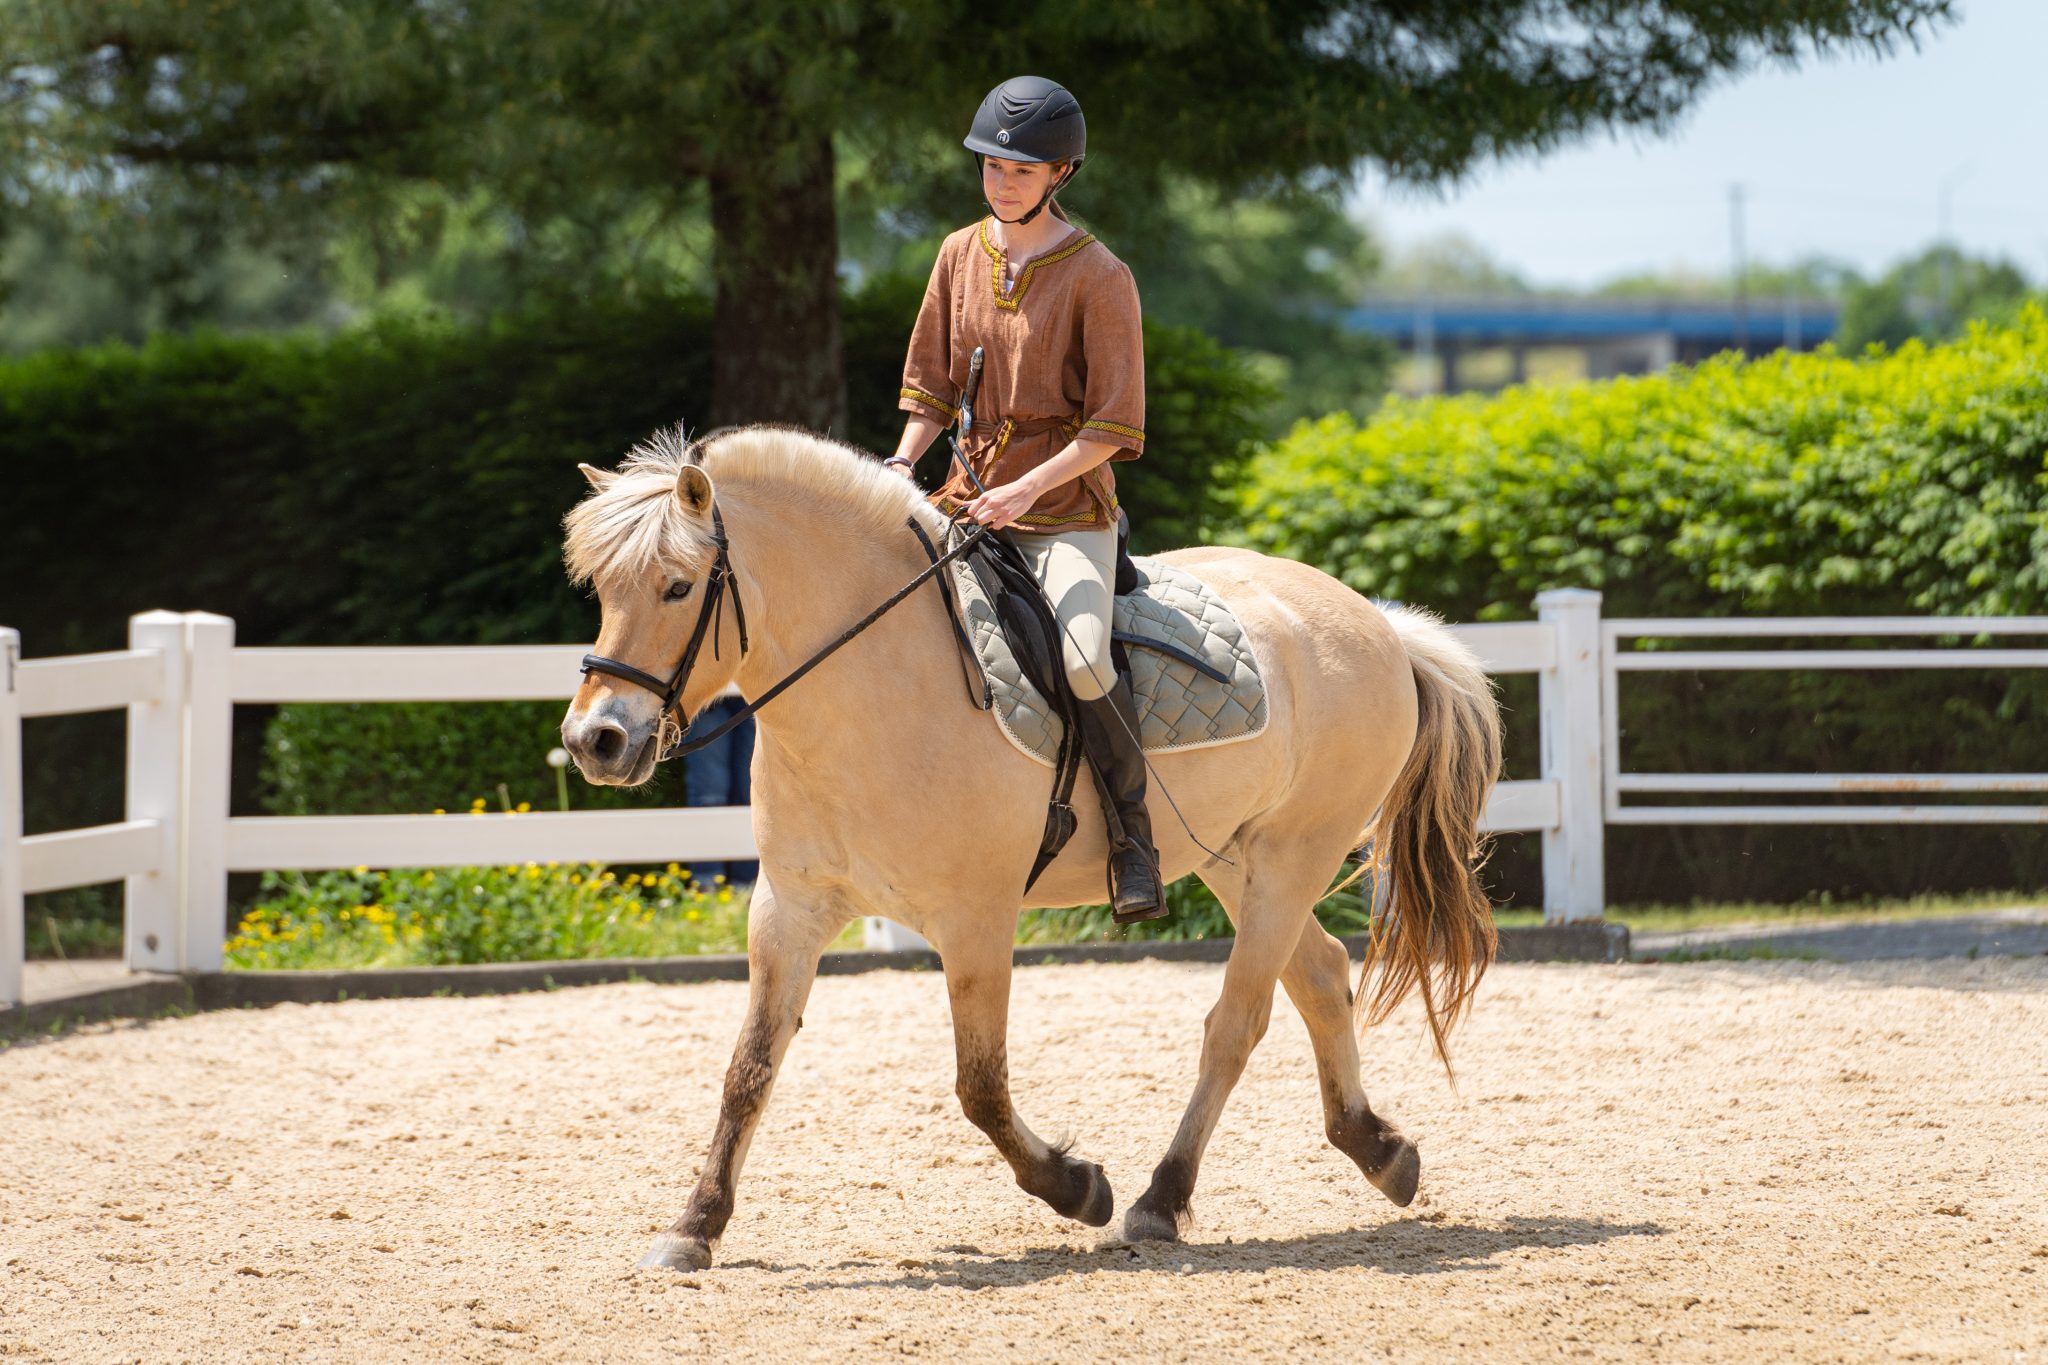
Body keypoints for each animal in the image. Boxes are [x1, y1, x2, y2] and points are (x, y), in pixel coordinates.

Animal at [559, 425, 1501, 1272]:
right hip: (1238, 859)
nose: (595, 741)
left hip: (1291, 856)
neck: (872, 679)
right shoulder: (788, 908)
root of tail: (1376, 623)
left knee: (1238, 1020)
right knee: (1319, 975)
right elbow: (748, 1068)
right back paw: (1380, 1151)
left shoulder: (975, 918)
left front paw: (1077, 1186)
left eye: (678, 587)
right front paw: (694, 1225)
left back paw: (1159, 1200)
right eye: (600, 587)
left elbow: (981, 1086)